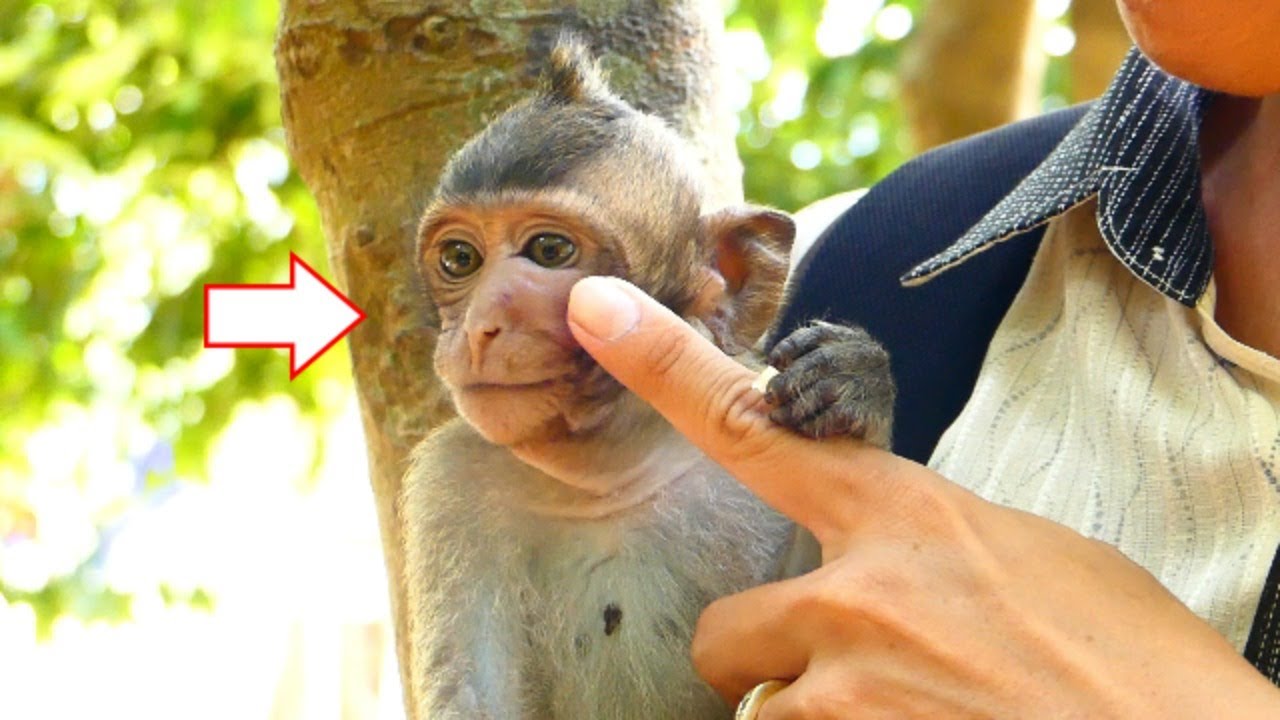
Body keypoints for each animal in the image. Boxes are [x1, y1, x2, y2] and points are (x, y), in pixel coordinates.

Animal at [401, 38, 895, 720]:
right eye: (459, 259)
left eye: (549, 251)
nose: (478, 327)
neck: (609, 474)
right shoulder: (452, 485)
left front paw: (852, 380)